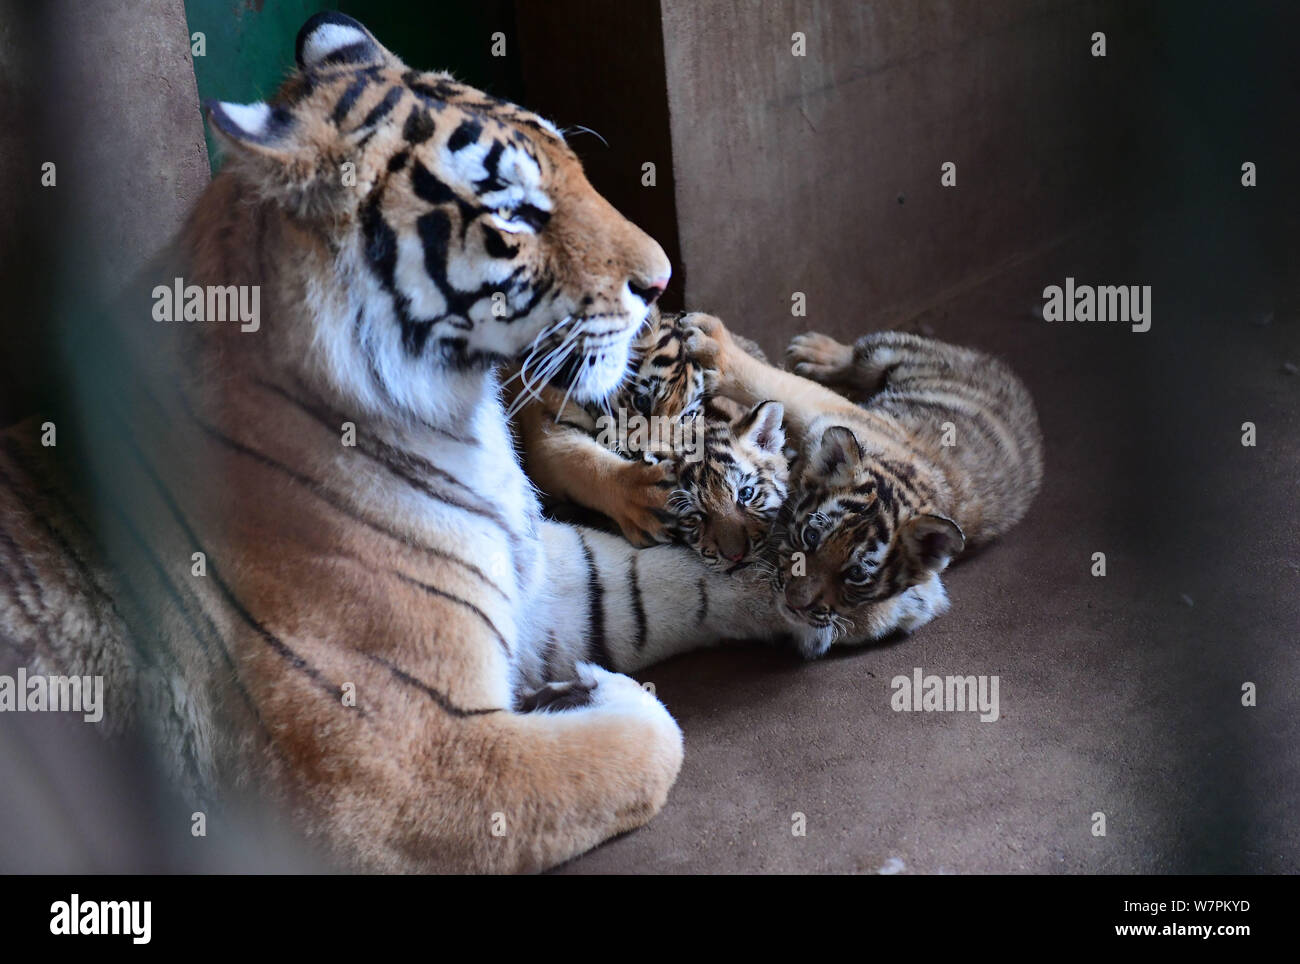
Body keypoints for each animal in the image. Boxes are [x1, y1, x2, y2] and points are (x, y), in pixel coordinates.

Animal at [0, 13, 797, 873]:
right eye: (516, 213)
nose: (660, 283)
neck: (460, 421)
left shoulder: (524, 577)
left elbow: (661, 580)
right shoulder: (406, 770)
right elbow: (648, 743)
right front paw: (586, 691)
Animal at [684, 316, 1044, 657]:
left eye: (856, 574)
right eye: (810, 536)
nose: (795, 602)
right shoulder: (827, 413)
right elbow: (776, 382)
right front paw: (712, 346)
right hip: (890, 351)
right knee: (857, 359)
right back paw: (811, 350)